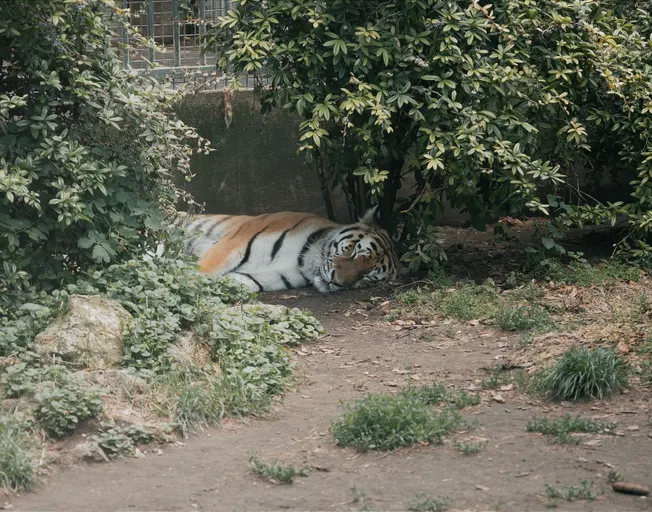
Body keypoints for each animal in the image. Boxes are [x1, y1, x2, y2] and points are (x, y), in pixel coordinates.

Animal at [170, 207, 400, 293]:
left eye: (366, 276)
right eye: (353, 251)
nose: (337, 281)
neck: (304, 261)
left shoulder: (265, 277)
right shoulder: (233, 244)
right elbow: (201, 273)